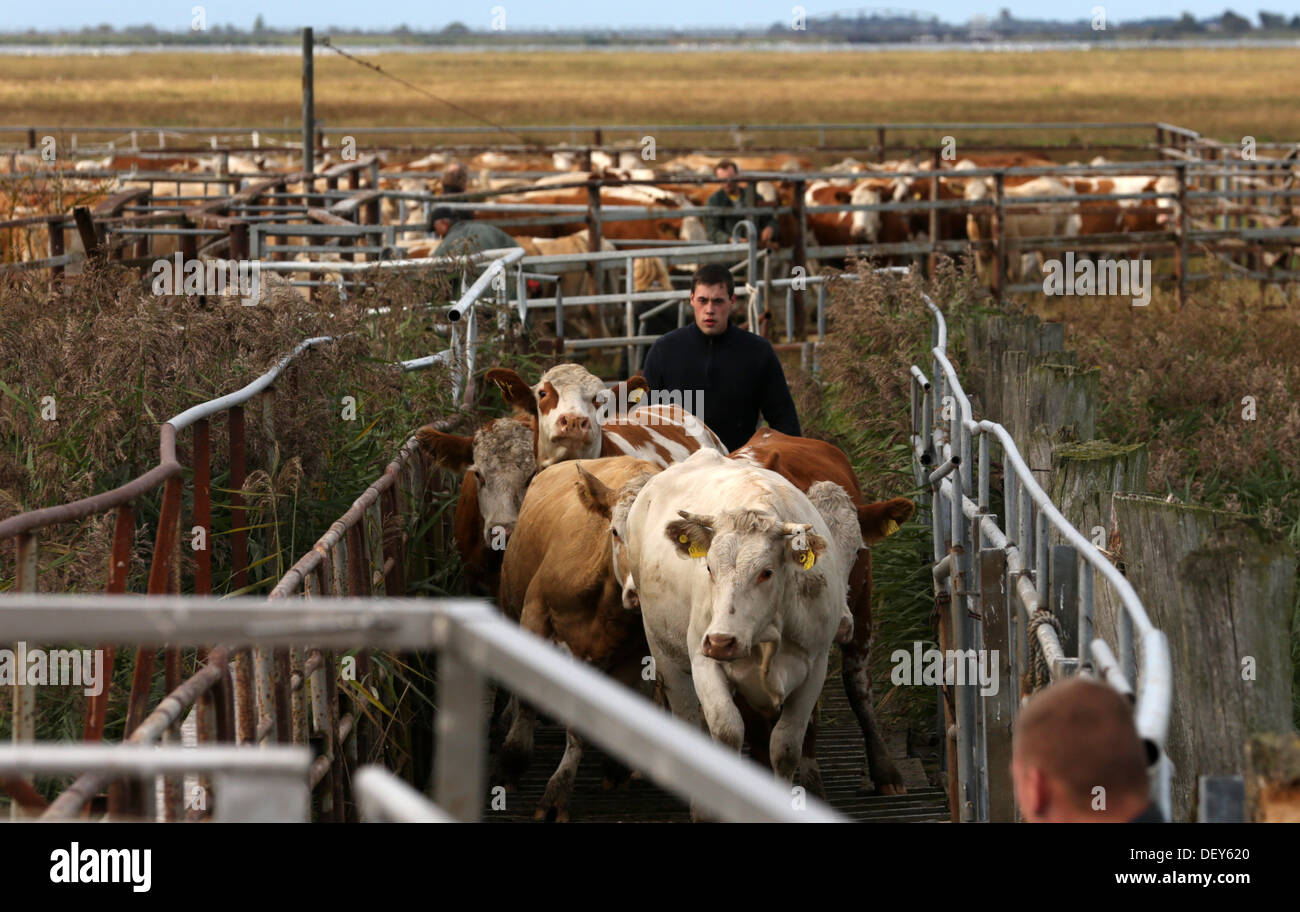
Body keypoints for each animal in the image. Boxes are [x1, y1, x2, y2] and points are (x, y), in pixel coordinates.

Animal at [497, 456, 663, 820]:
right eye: (615, 531)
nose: (638, 595)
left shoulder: (631, 657)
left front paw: (557, 792)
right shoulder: (535, 615)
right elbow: (526, 696)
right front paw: (514, 759)